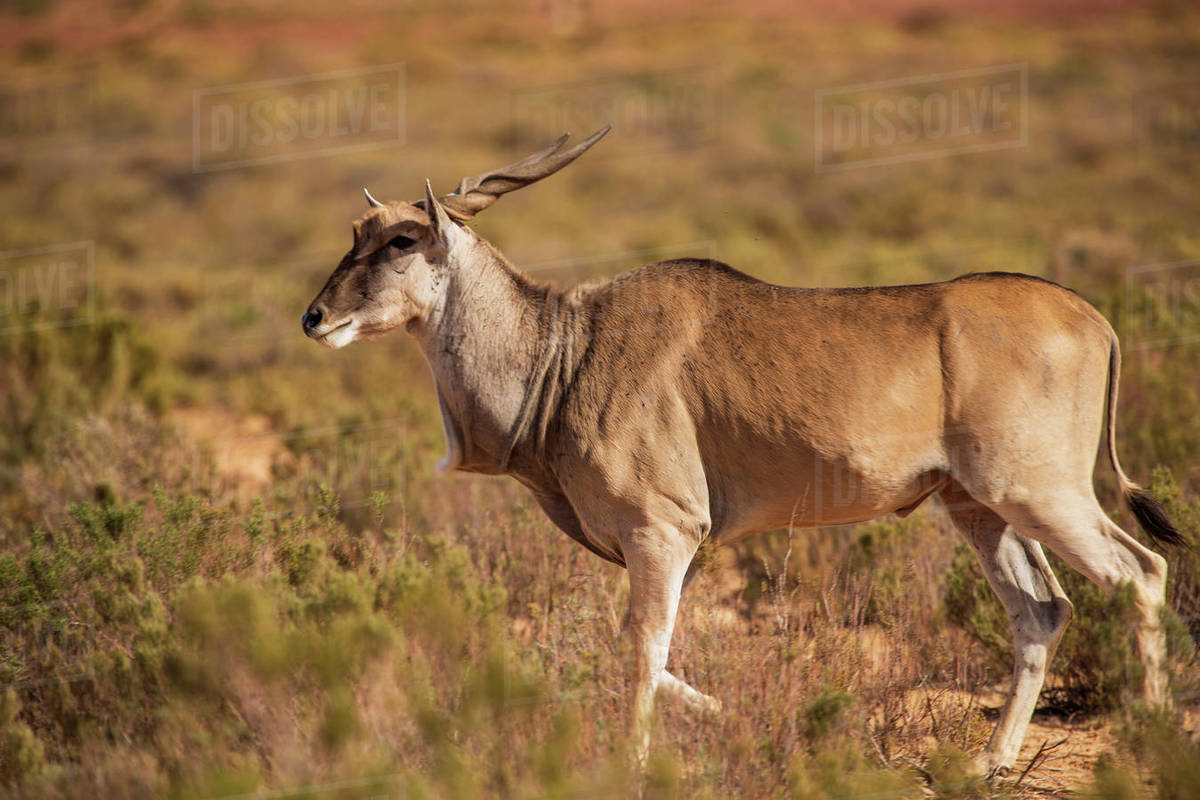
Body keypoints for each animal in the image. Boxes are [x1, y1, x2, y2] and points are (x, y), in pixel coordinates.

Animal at [302, 126, 1184, 776]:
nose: (315, 318)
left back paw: (1150, 737)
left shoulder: (663, 532)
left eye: (403, 241)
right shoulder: (665, 544)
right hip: (976, 507)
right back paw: (989, 764)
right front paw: (733, 715)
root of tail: (1095, 319)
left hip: (1038, 492)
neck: (565, 351)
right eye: (355, 235)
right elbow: (651, 652)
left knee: (1139, 573)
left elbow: (641, 648)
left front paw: (636, 761)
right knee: (1042, 610)